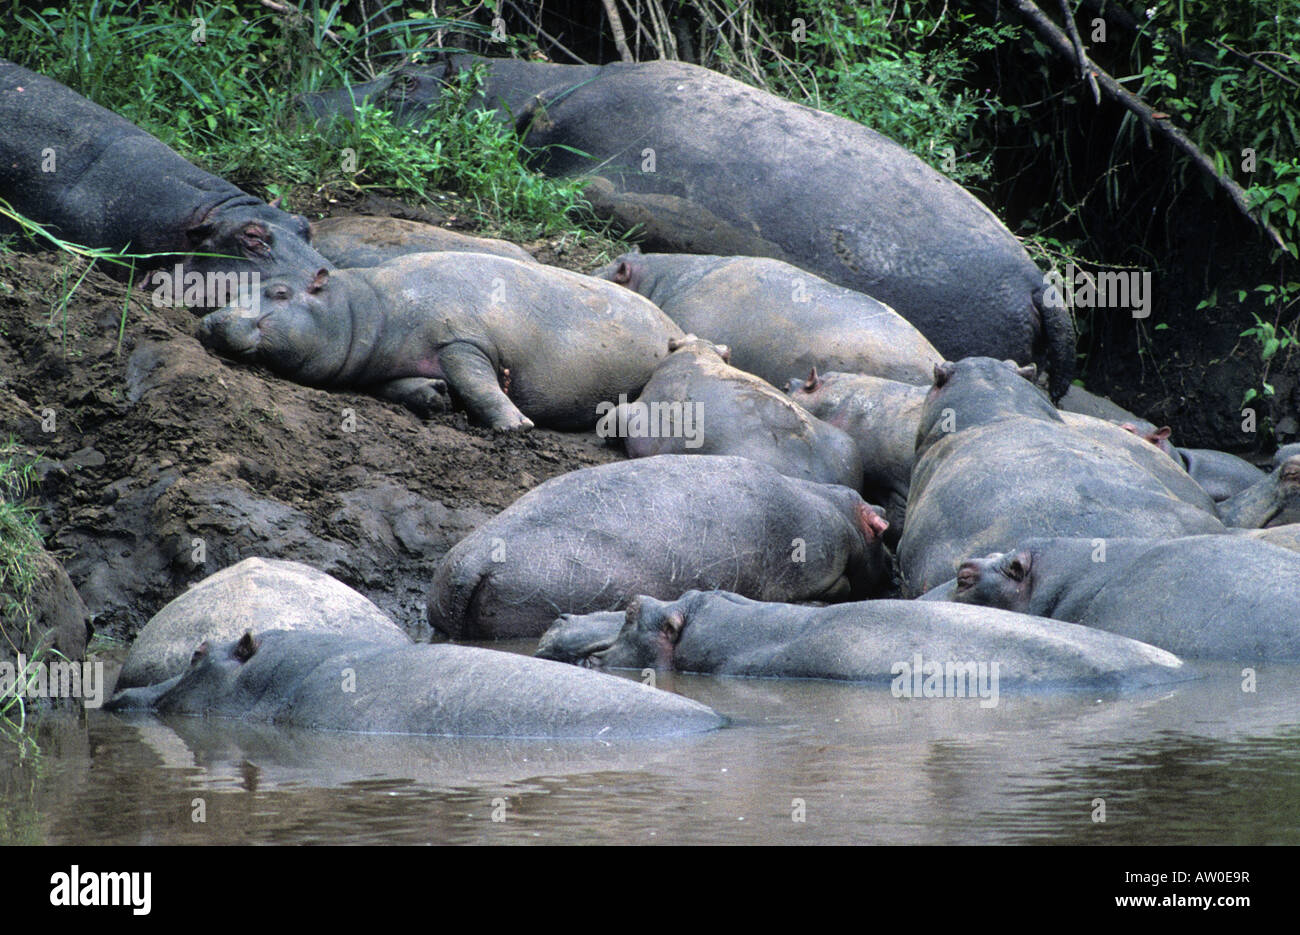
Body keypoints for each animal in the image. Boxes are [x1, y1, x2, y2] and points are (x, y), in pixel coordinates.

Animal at [197, 253, 683, 430]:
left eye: (280, 292)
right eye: (246, 285)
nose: (214, 318)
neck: (363, 307)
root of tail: (675, 328)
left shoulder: (460, 340)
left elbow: (481, 386)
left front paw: (516, 427)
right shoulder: (383, 363)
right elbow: (398, 387)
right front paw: (435, 397)